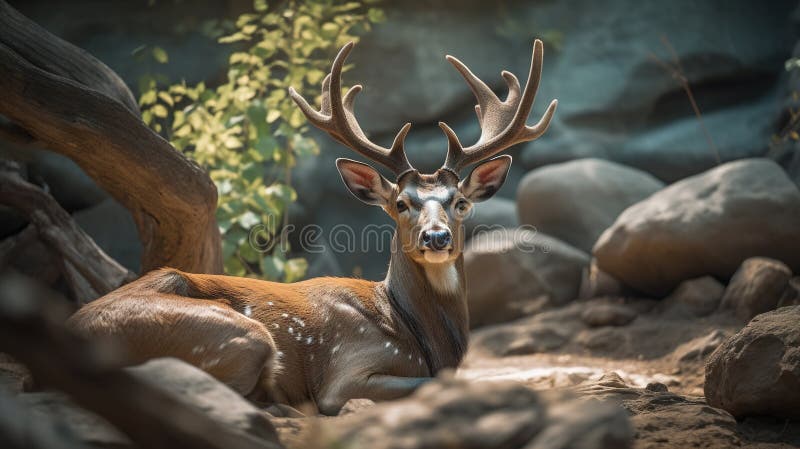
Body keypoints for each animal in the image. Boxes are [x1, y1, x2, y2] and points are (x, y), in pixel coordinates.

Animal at [68, 39, 557, 415]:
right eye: (401, 203)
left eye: (460, 202)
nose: (435, 237)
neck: (423, 340)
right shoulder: (348, 370)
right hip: (240, 335)